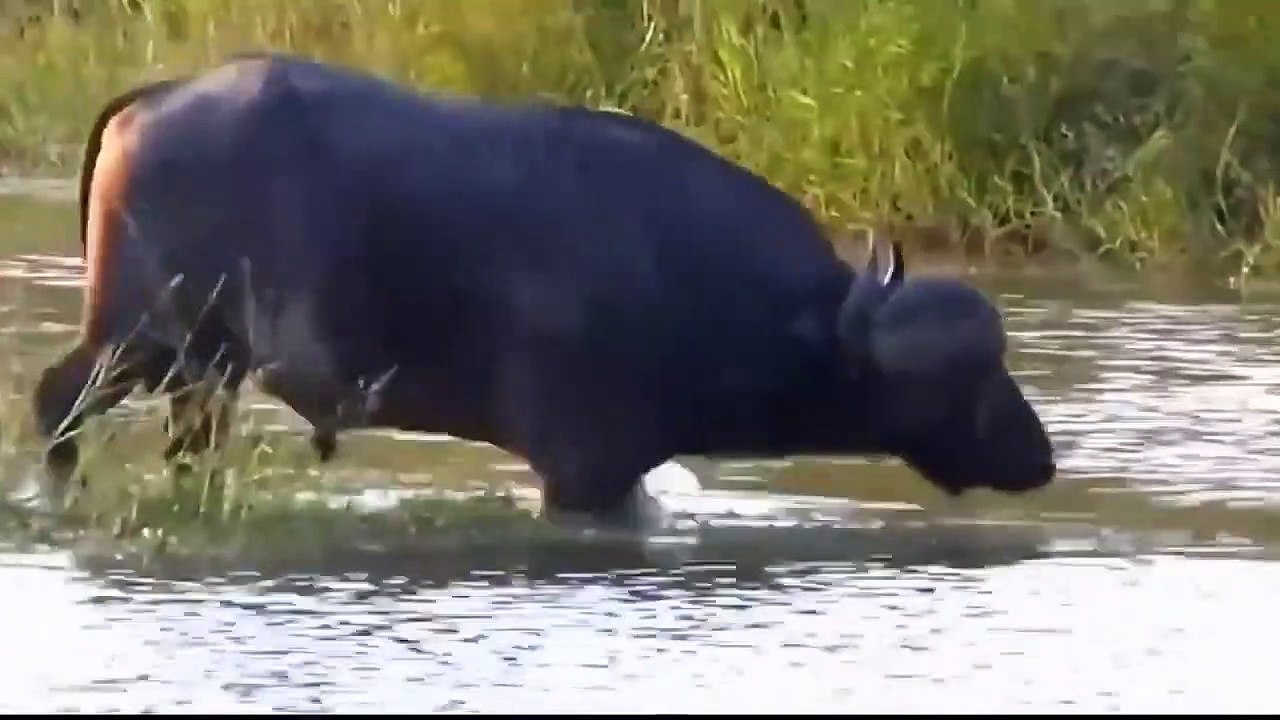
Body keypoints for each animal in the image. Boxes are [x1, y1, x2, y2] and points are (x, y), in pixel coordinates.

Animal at [33, 53, 1056, 526]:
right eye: (963, 373)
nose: (1041, 458)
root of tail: (159, 96)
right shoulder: (584, 470)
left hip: (204, 370)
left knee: (188, 447)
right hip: (138, 338)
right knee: (55, 400)